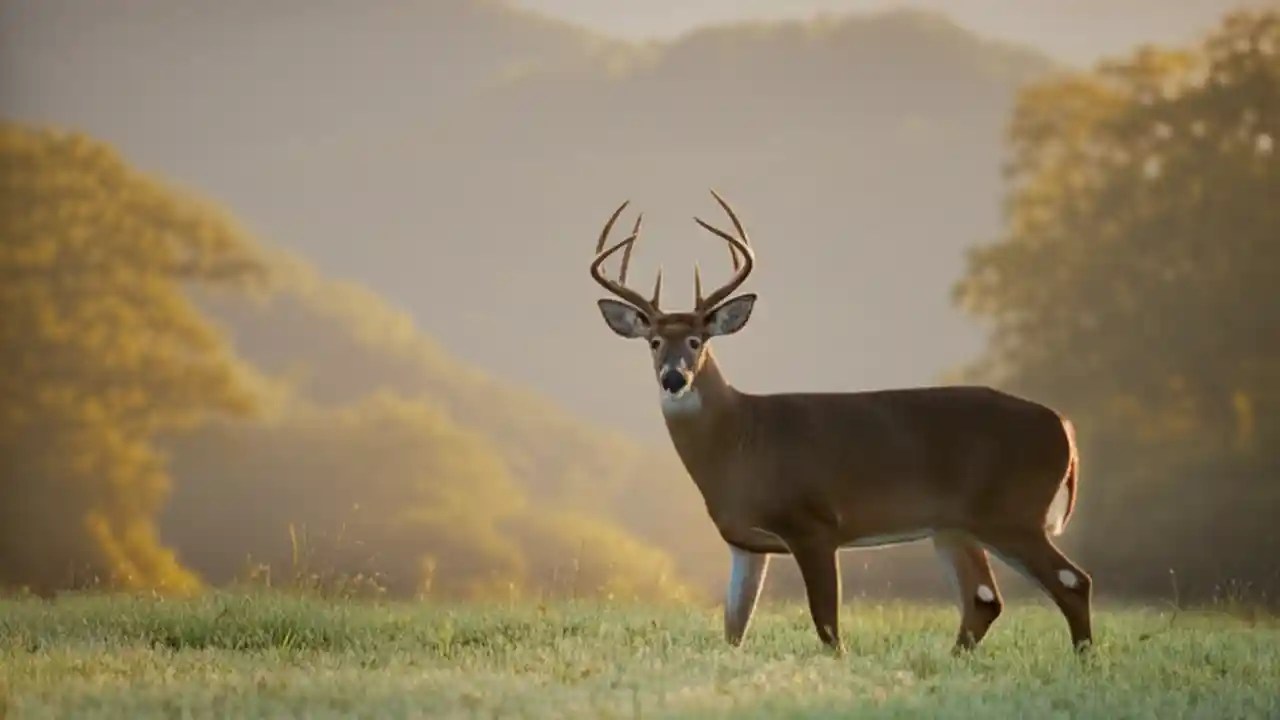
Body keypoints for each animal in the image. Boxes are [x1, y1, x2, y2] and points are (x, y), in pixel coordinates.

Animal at [587, 190, 1093, 654]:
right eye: (654, 342)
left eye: (697, 340)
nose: (674, 378)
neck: (740, 441)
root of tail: (1065, 427)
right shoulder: (746, 541)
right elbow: (734, 628)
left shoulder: (813, 523)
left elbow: (826, 622)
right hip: (956, 525)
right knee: (984, 599)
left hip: (1012, 510)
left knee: (1072, 580)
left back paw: (1083, 659)